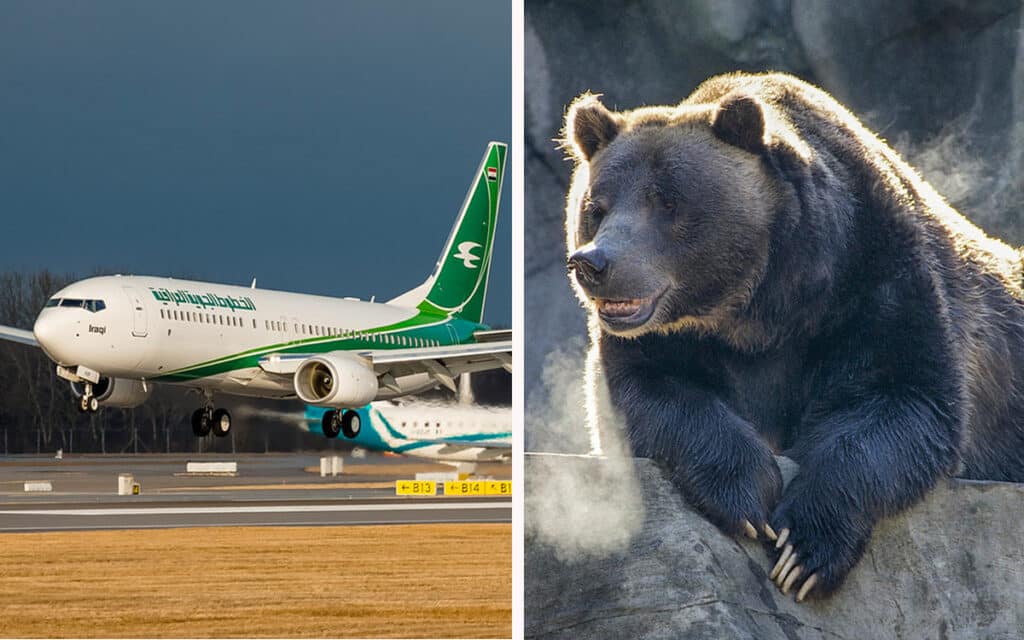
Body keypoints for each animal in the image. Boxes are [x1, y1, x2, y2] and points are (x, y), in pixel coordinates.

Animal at [563, 71, 1024, 601]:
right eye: (595, 207)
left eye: (668, 202)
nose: (594, 264)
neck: (760, 306)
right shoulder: (658, 340)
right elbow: (650, 394)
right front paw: (746, 495)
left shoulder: (876, 277)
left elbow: (903, 398)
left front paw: (803, 550)